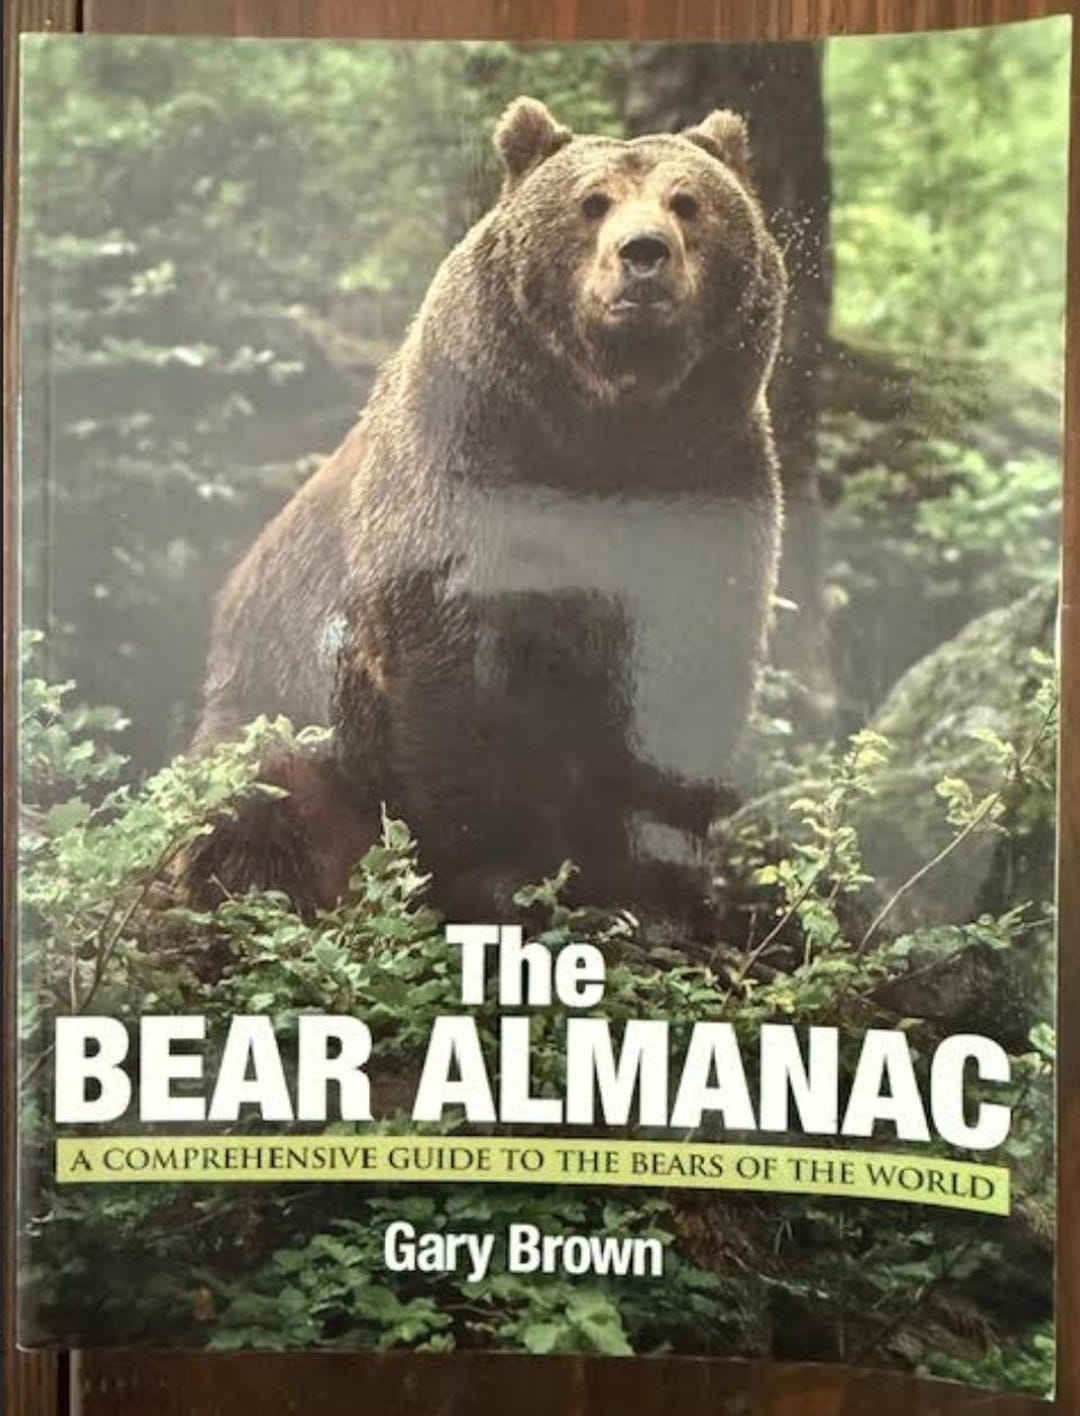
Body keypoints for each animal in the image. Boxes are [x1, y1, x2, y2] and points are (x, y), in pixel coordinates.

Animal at [185, 96, 787, 931]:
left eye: (687, 202)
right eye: (591, 201)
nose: (644, 253)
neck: (610, 429)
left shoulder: (707, 484)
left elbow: (686, 668)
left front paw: (655, 892)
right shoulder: (472, 473)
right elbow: (458, 685)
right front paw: (506, 876)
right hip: (280, 715)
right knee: (265, 802)